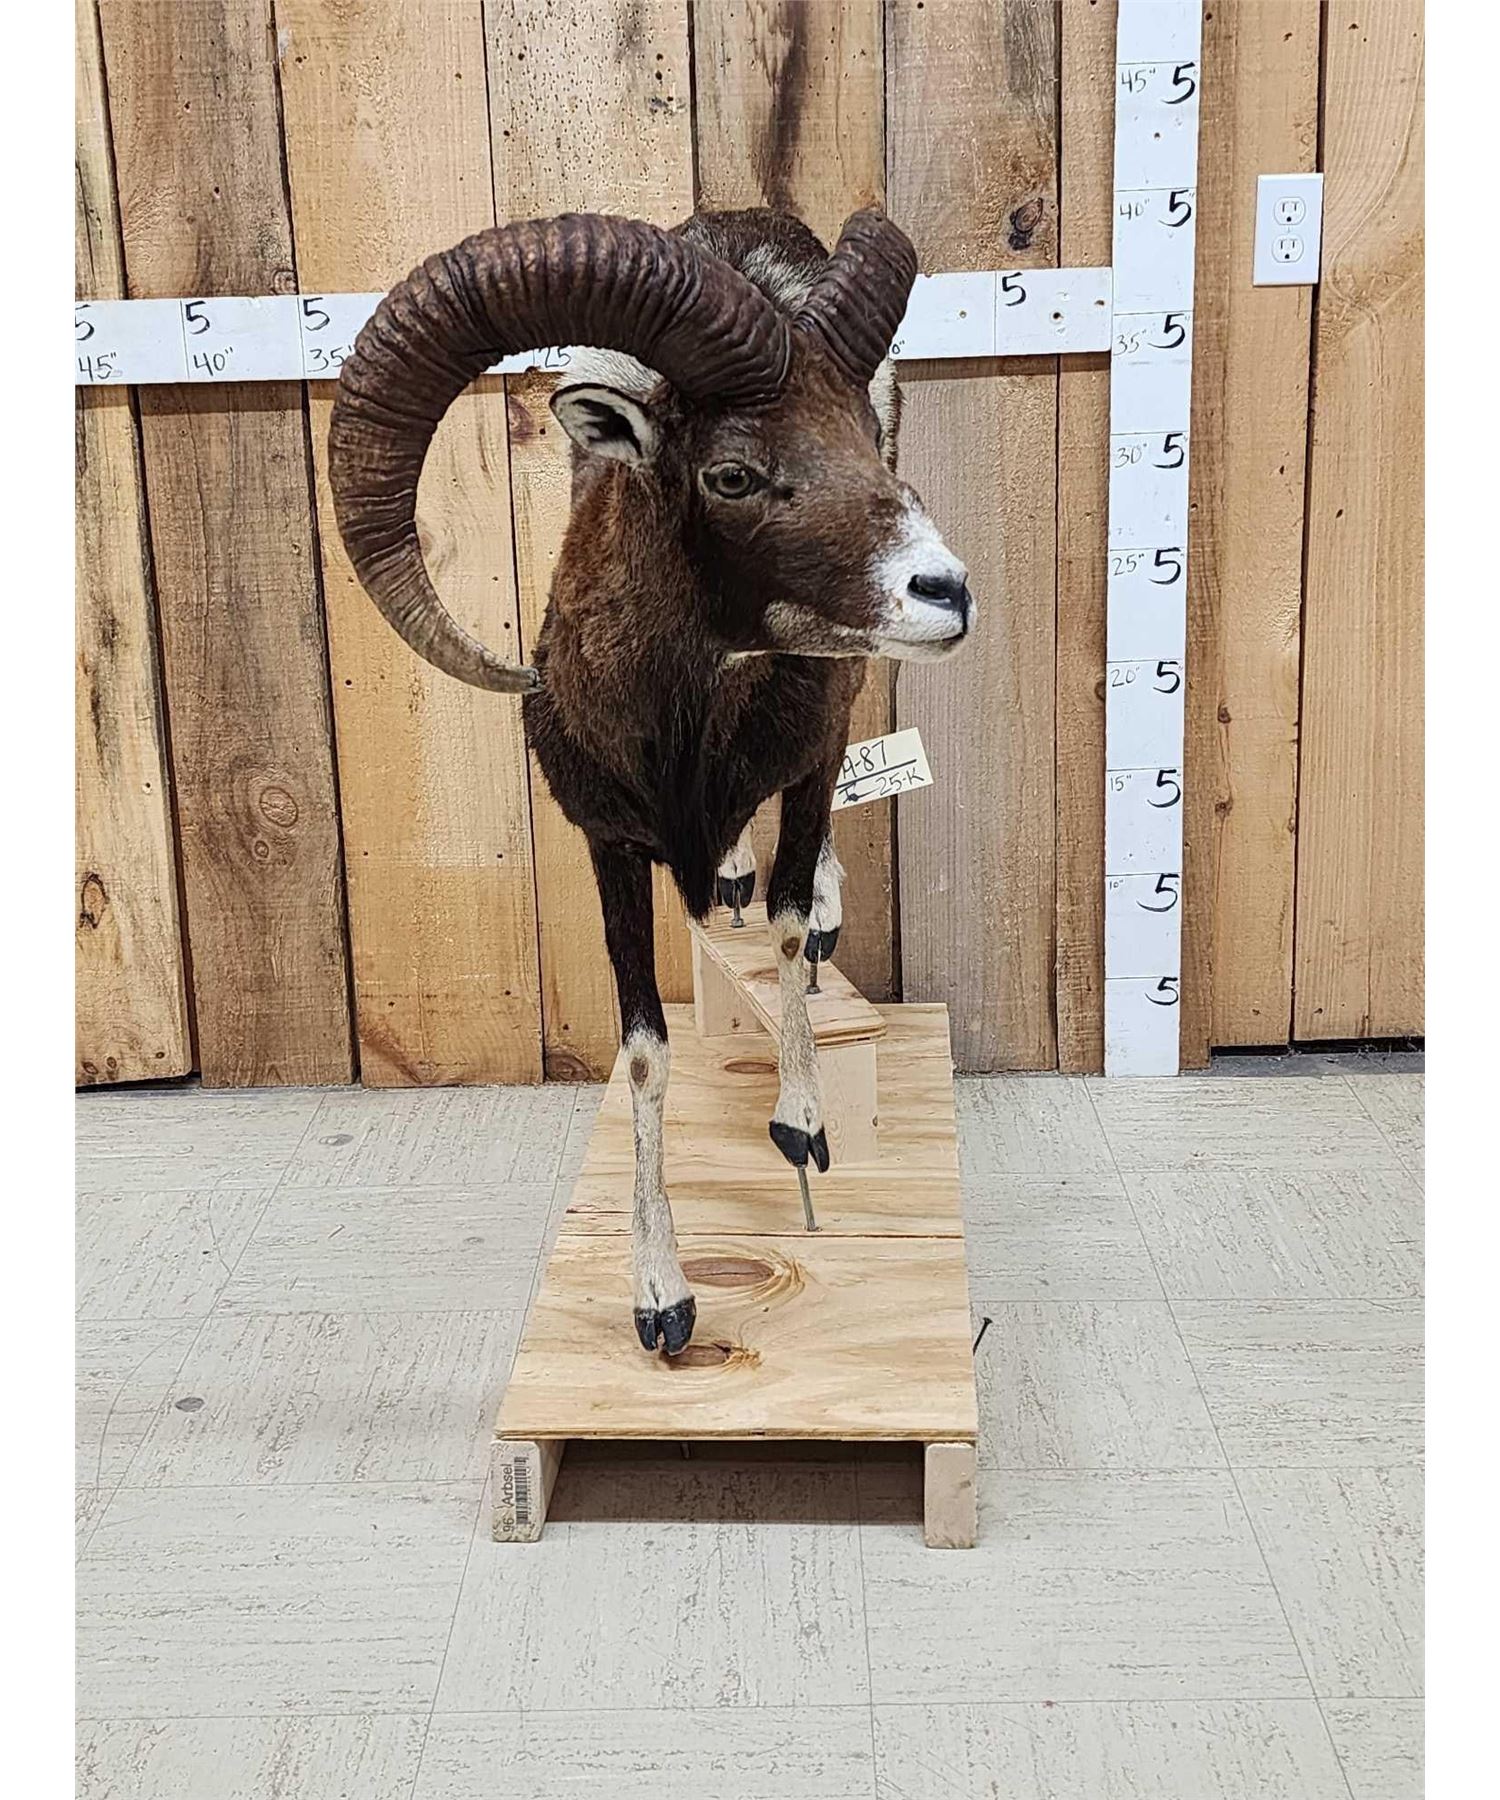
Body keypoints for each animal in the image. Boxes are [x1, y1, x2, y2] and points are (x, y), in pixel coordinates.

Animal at [329, 206, 972, 1356]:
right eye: (732, 474)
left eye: (863, 433)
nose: (946, 593)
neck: (683, 742)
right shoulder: (610, 847)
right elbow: (642, 1054)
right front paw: (662, 1302)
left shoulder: (811, 763)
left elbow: (787, 932)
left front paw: (802, 1134)